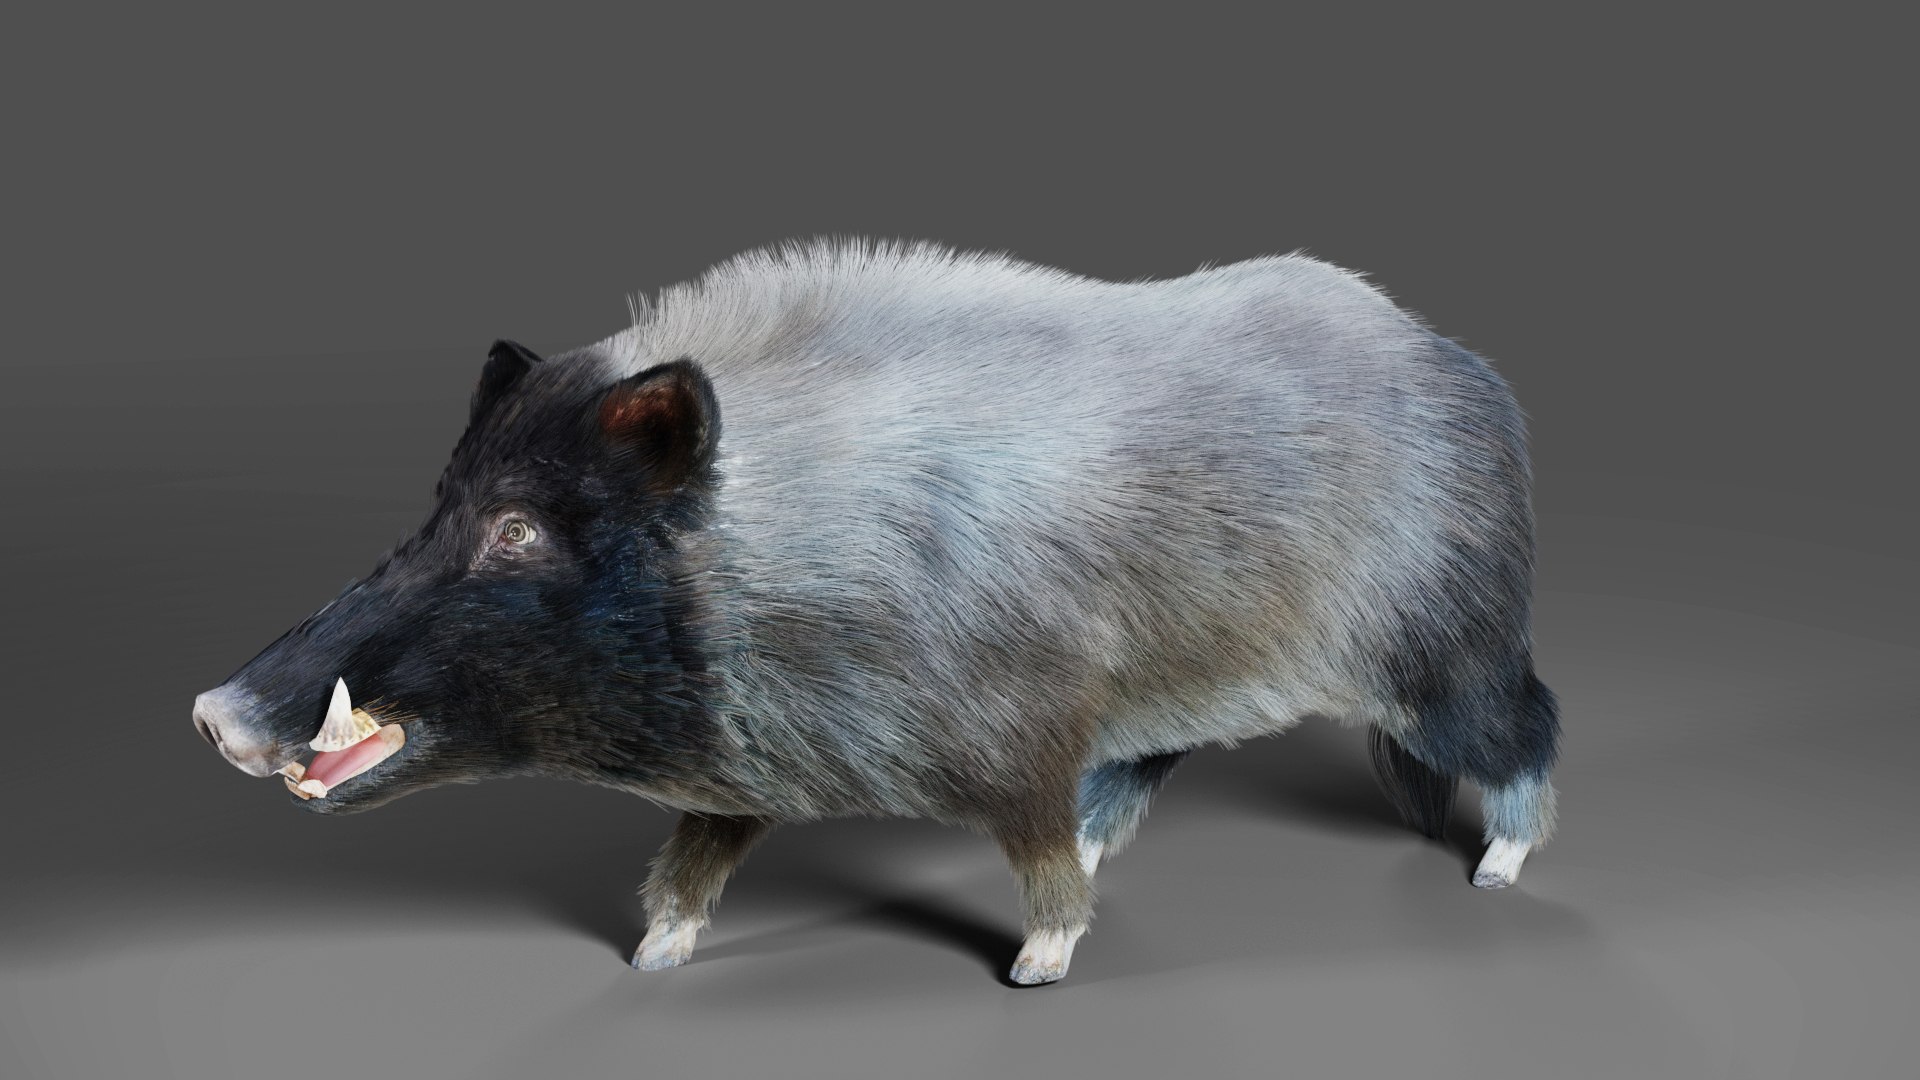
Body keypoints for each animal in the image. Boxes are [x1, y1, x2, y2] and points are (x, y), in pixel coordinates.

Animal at [193, 240, 1560, 984]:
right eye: (439, 504)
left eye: (519, 529)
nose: (211, 710)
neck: (774, 578)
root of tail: (1465, 371)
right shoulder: (746, 778)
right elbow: (689, 867)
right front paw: (653, 959)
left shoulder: (1020, 737)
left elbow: (1035, 861)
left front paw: (1036, 970)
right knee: (1154, 762)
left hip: (1442, 654)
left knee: (1534, 725)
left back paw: (1499, 872)